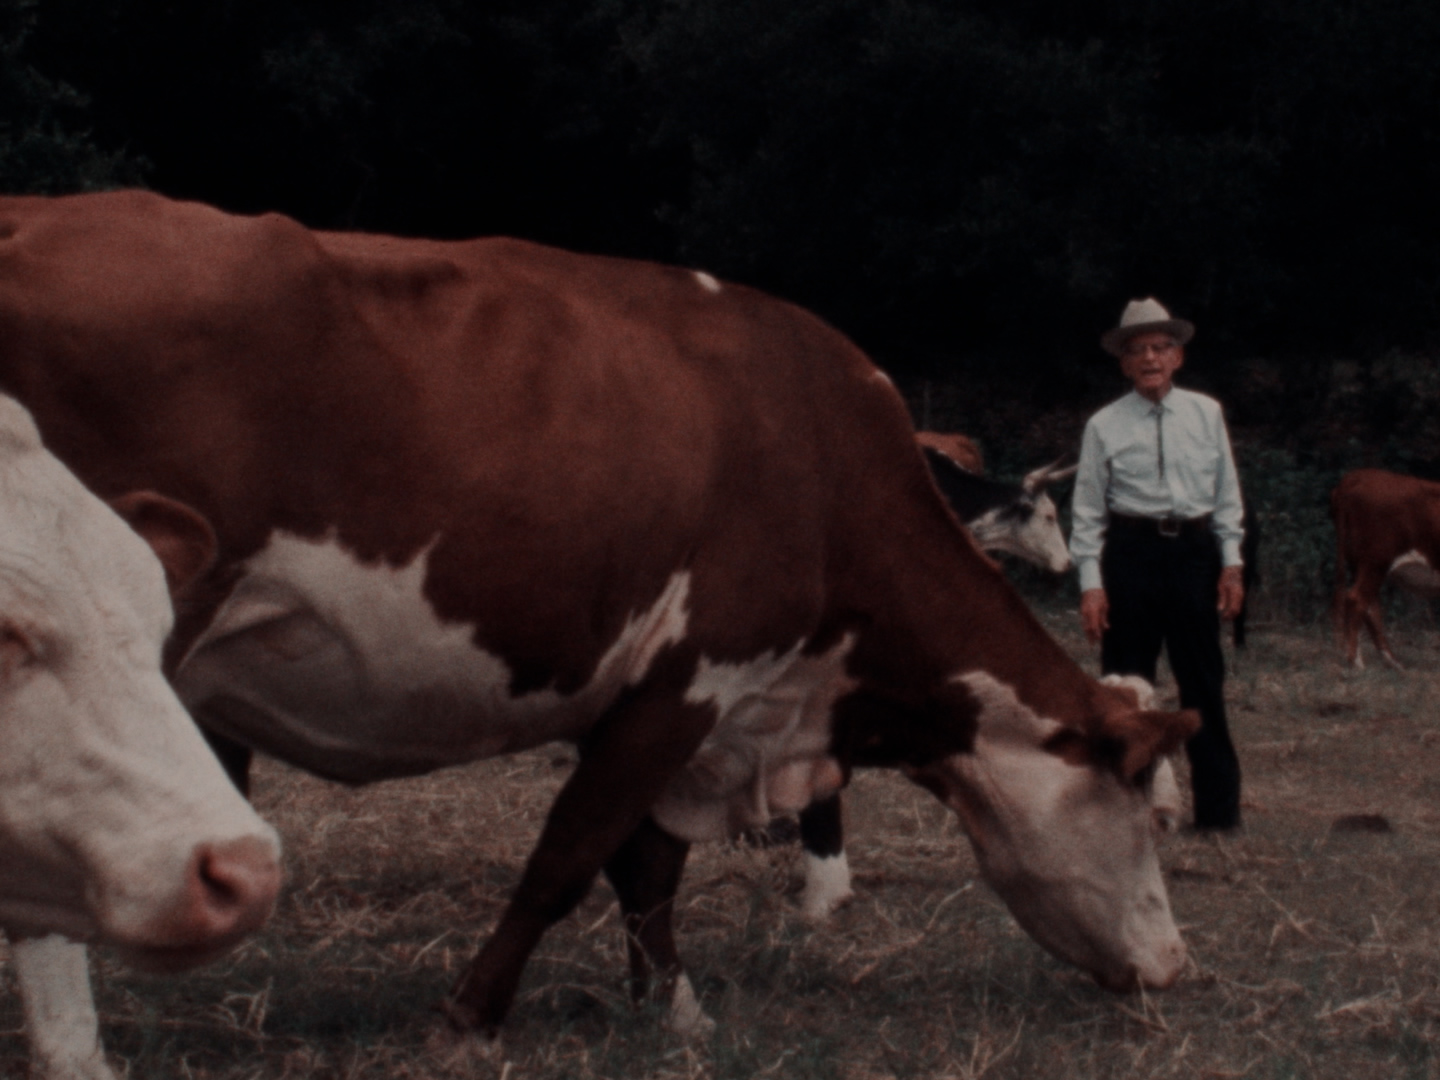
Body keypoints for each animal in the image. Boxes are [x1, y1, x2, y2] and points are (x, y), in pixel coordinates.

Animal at [1332, 468, 1440, 669]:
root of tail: (1357, 476)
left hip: (1360, 563)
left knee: (1370, 607)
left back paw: (1392, 661)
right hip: (1376, 560)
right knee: (1356, 599)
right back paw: (1356, 662)